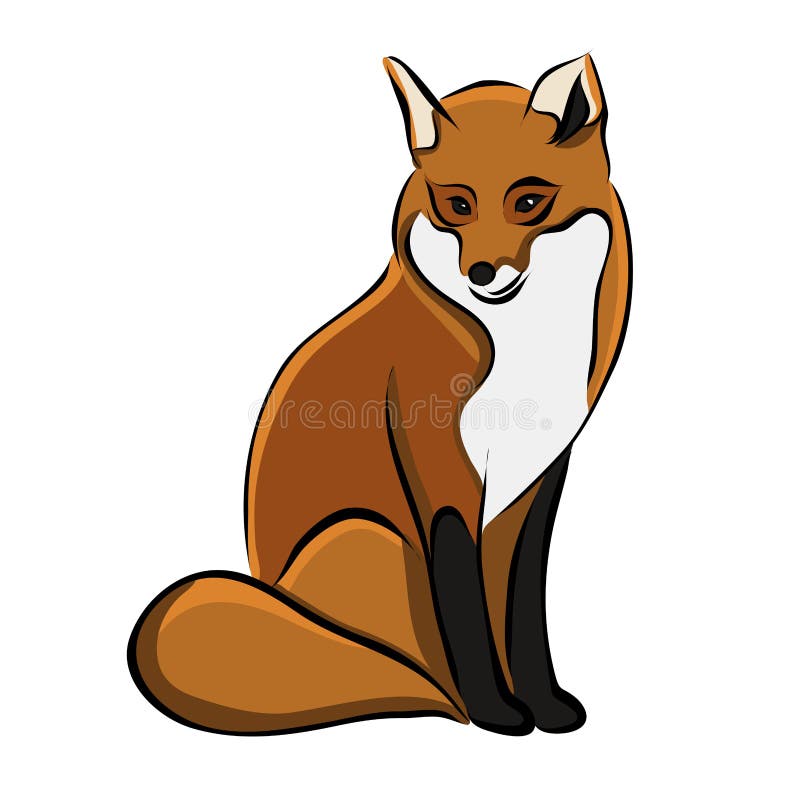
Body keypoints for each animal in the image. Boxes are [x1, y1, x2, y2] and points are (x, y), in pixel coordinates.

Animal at [128, 54, 631, 737]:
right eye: (457, 204)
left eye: (529, 201)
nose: (481, 273)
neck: (524, 356)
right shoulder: (442, 476)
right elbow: (466, 611)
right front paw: (495, 711)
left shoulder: (535, 482)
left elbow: (523, 611)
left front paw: (544, 705)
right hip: (372, 536)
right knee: (406, 672)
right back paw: (445, 703)